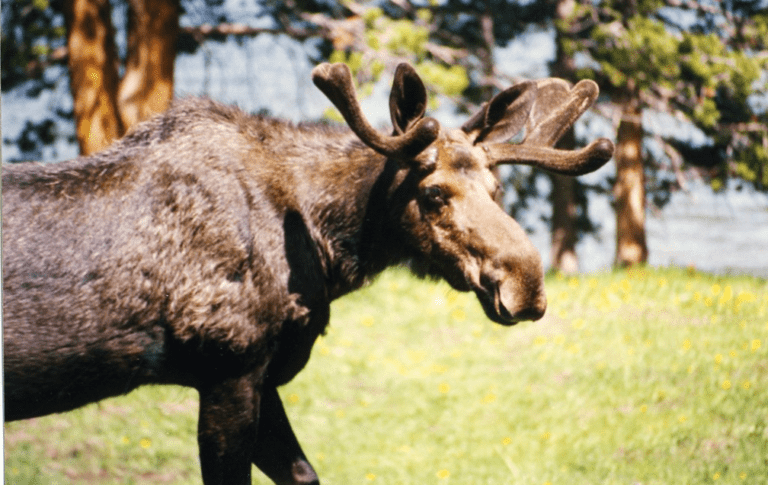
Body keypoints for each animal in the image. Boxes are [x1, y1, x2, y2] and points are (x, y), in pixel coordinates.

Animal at [2, 62, 613, 484]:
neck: (326, 250)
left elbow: (305, 474)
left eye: (496, 189)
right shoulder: (228, 366)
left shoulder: (262, 375)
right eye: (434, 193)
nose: (527, 285)